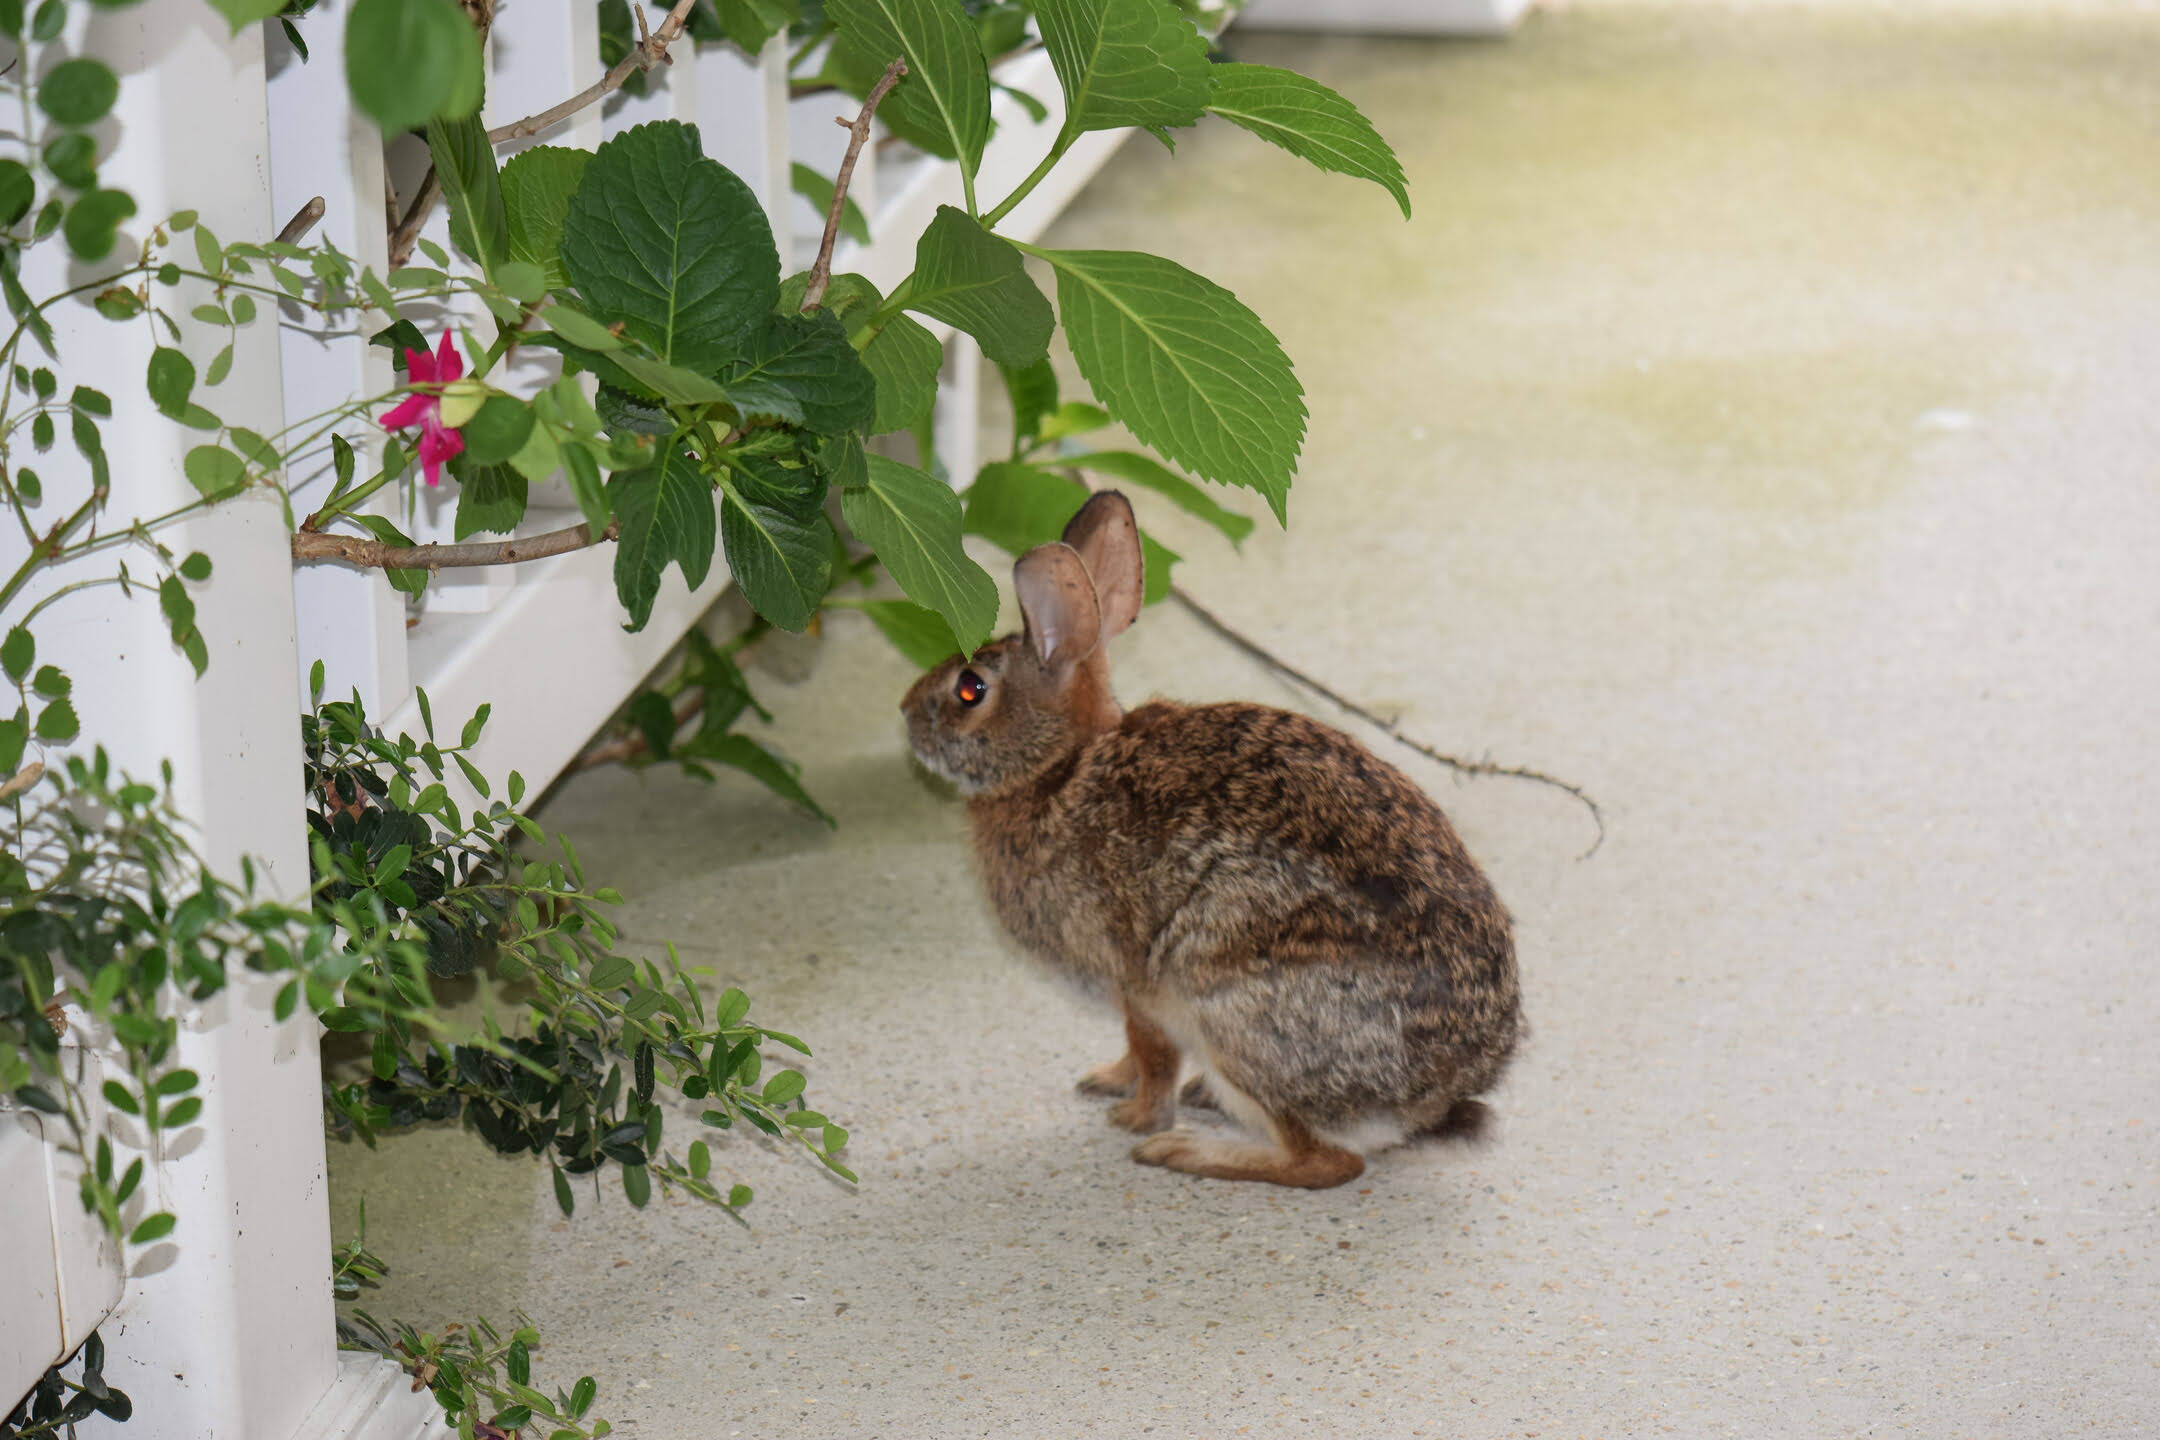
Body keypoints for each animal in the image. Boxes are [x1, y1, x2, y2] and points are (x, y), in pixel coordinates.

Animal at [898, 496, 1520, 1191]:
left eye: (970, 689)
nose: (904, 712)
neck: (1056, 769)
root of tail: (1437, 1092)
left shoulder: (1137, 982)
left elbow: (1150, 1051)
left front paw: (1135, 1117)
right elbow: (1132, 1051)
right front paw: (1106, 1081)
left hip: (1230, 1011)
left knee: (1327, 1161)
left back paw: (1185, 1149)